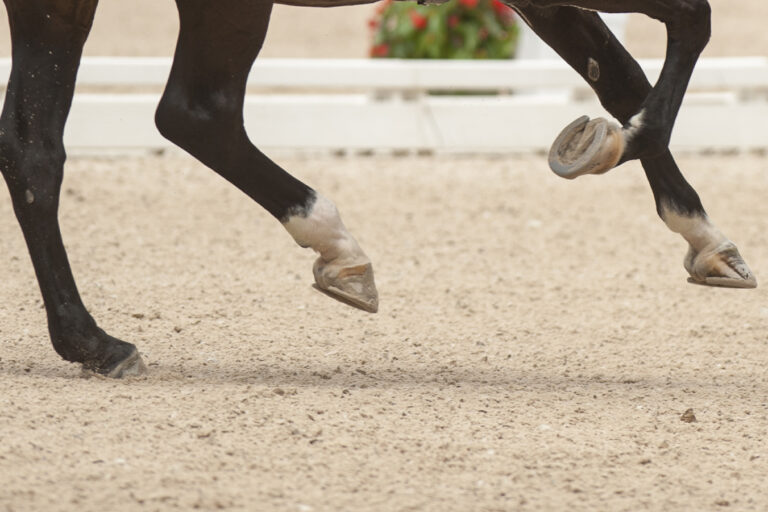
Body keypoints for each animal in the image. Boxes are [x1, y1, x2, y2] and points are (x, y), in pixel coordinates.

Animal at [0, 0, 756, 378]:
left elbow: (620, 72)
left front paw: (706, 240)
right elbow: (689, 23)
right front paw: (613, 144)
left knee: (48, 146)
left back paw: (90, 342)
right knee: (191, 112)